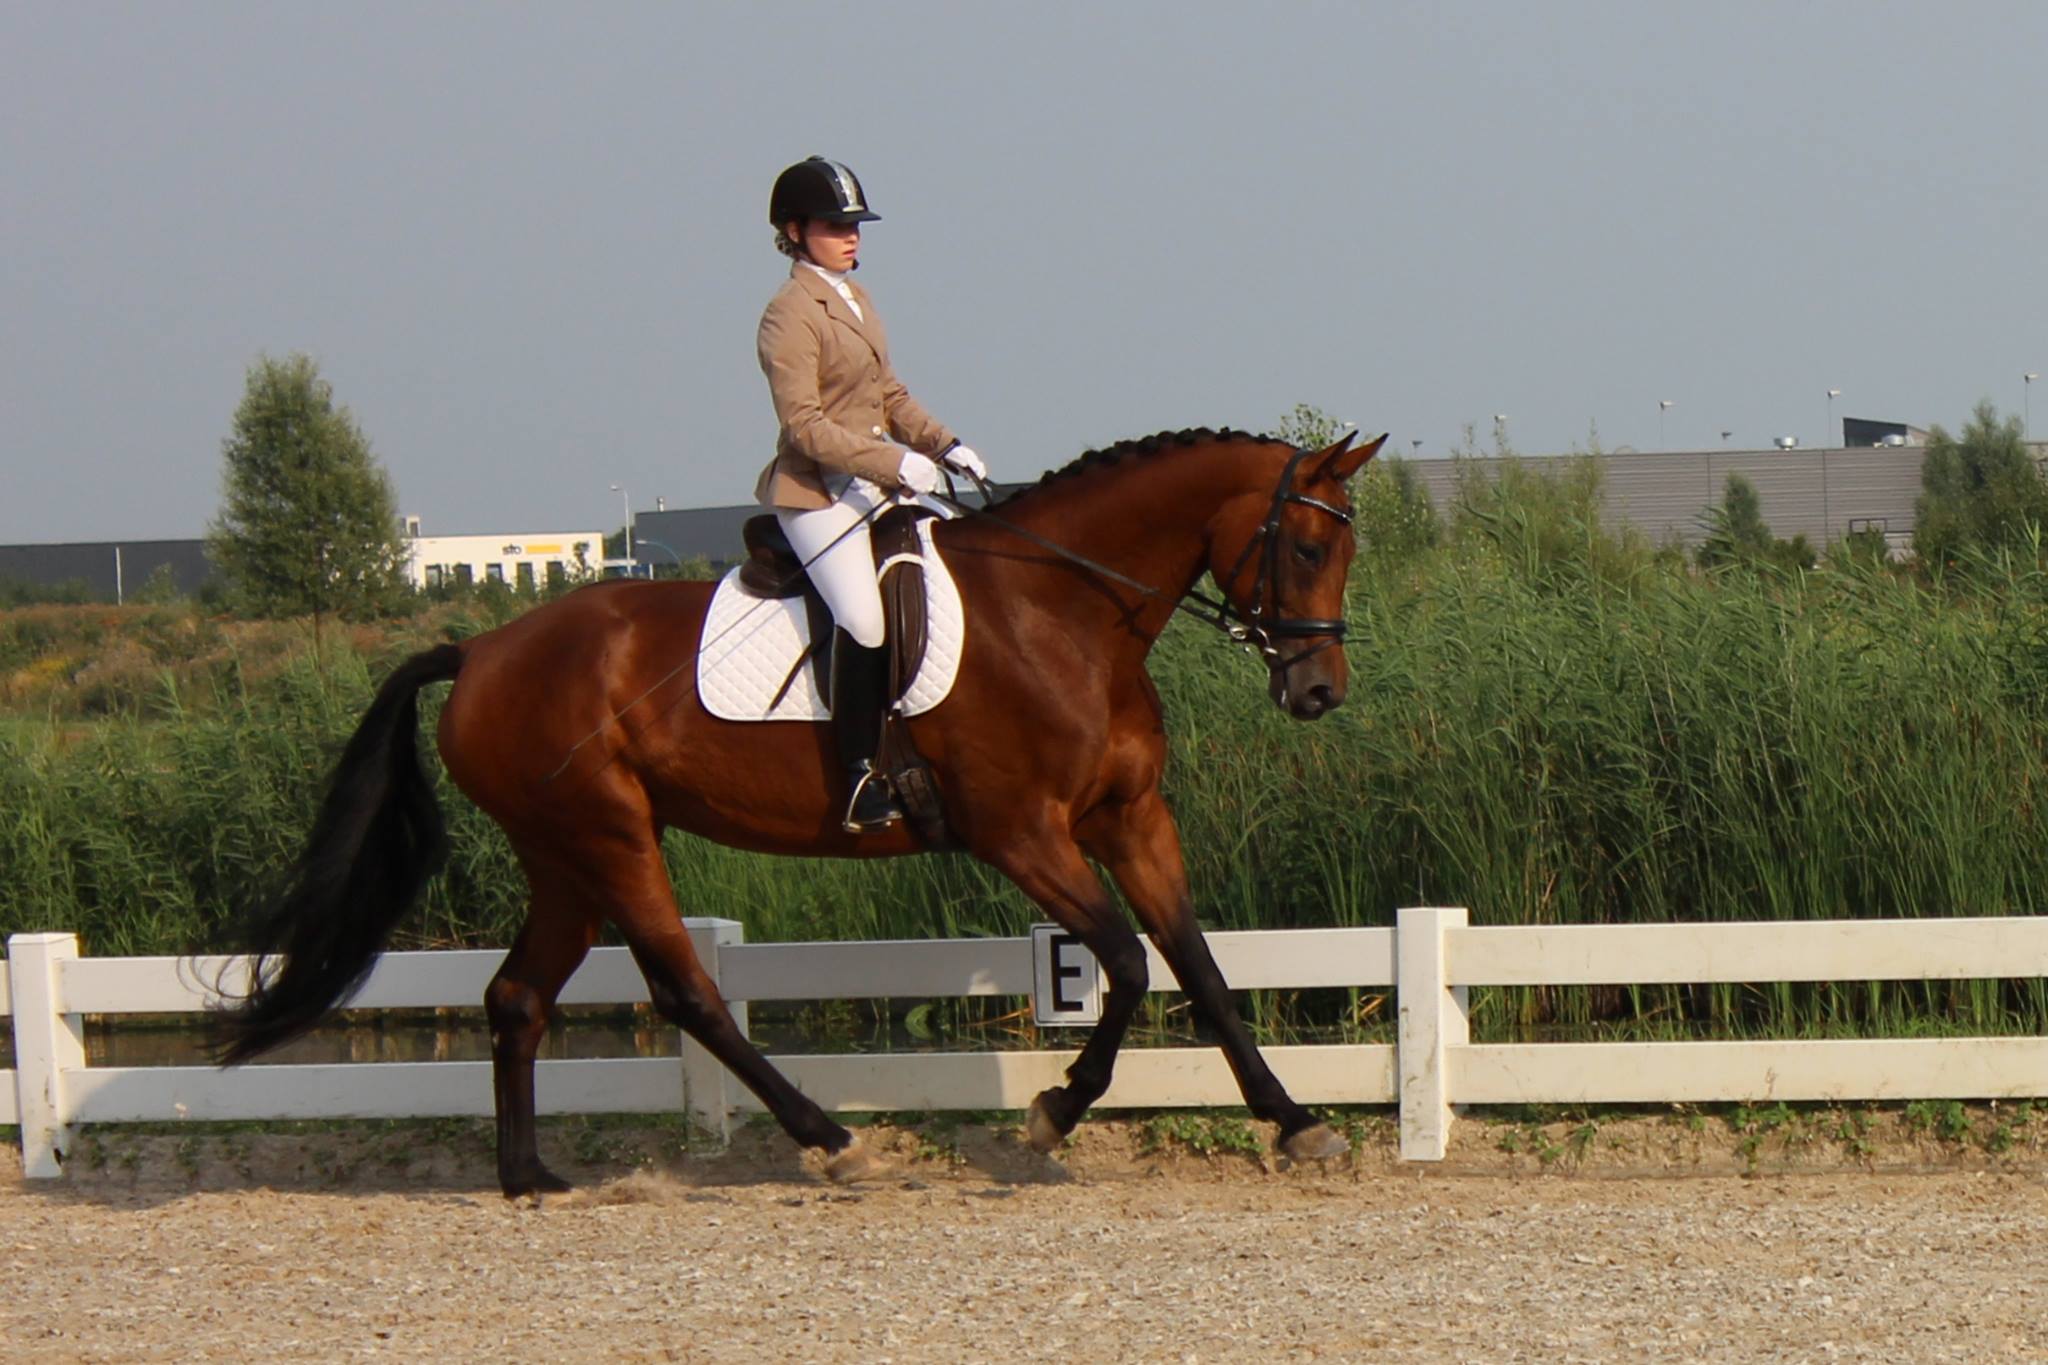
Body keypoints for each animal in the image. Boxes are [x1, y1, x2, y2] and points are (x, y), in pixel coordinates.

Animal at [218, 425, 1385, 1196]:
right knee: (687, 992)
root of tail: (480, 649)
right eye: (1305, 547)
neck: (1063, 611)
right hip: (610, 836)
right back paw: (828, 1139)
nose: (1319, 691)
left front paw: (1295, 1123)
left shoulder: (1130, 817)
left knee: (516, 996)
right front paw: (1052, 1113)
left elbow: (1199, 964)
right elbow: (1129, 963)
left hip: (563, 857)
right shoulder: (1021, 834)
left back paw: (529, 1177)